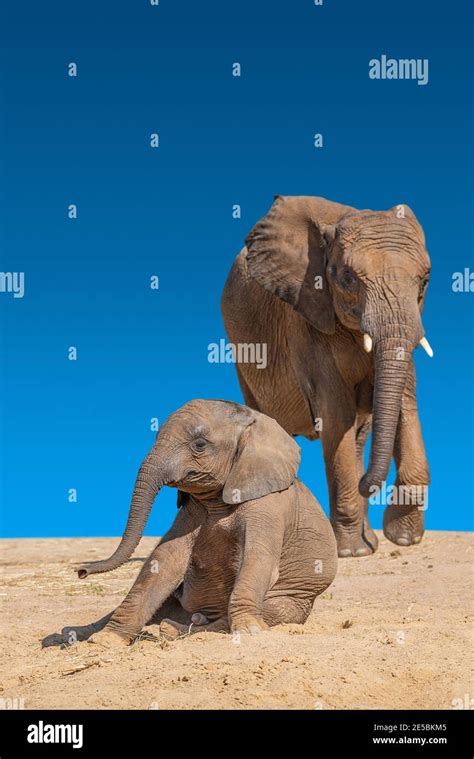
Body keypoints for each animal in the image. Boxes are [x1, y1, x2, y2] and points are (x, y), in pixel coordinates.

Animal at [62, 399, 337, 647]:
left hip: (295, 600)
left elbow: (257, 558)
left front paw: (249, 632)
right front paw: (105, 640)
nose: (81, 571)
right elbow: (165, 559)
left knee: (273, 610)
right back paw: (74, 633)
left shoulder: (270, 503)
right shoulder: (191, 511)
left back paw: (174, 629)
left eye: (200, 445)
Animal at [221, 195, 432, 558]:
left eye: (424, 282)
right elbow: (336, 412)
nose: (367, 486)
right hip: (242, 355)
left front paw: (402, 538)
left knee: (359, 436)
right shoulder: (306, 316)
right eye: (347, 278)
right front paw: (349, 553)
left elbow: (405, 401)